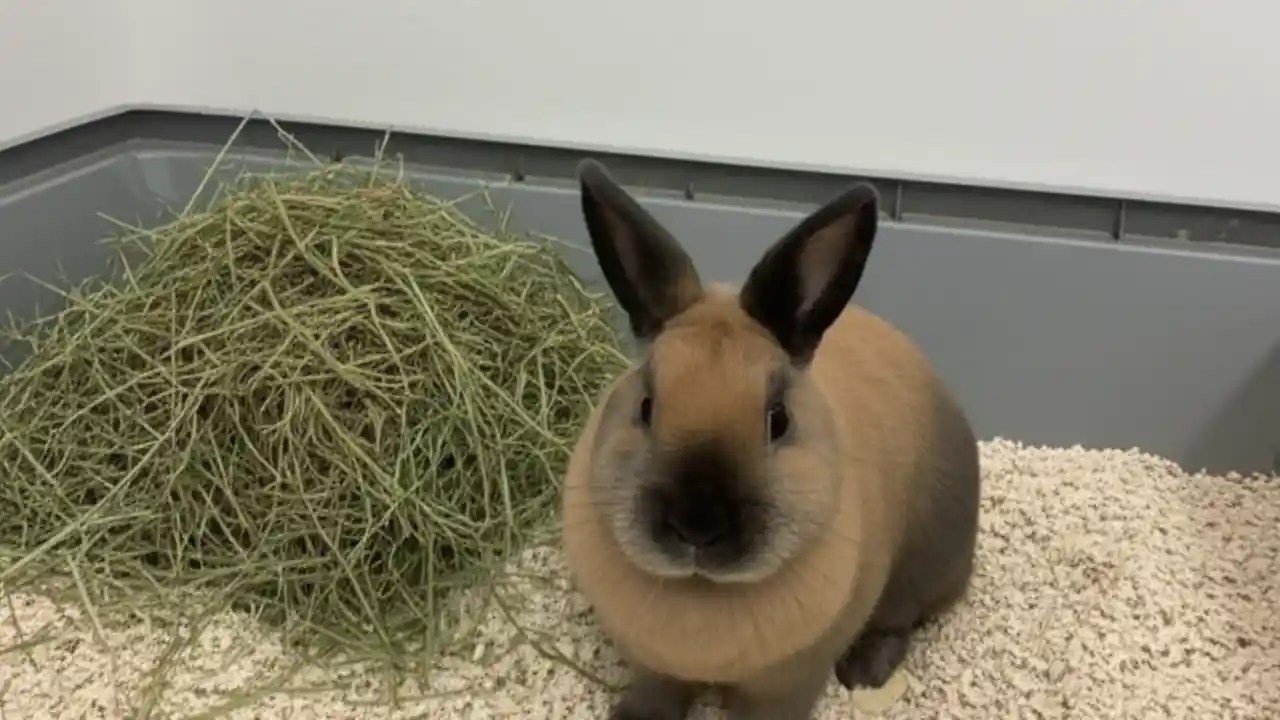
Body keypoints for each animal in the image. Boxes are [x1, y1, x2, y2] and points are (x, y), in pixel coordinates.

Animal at [560, 158, 981, 720]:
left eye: (778, 420)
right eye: (646, 406)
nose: (697, 525)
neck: (702, 592)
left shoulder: (789, 683)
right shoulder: (653, 667)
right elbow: (656, 693)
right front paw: (630, 719)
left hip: (922, 561)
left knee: (900, 619)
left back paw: (864, 673)